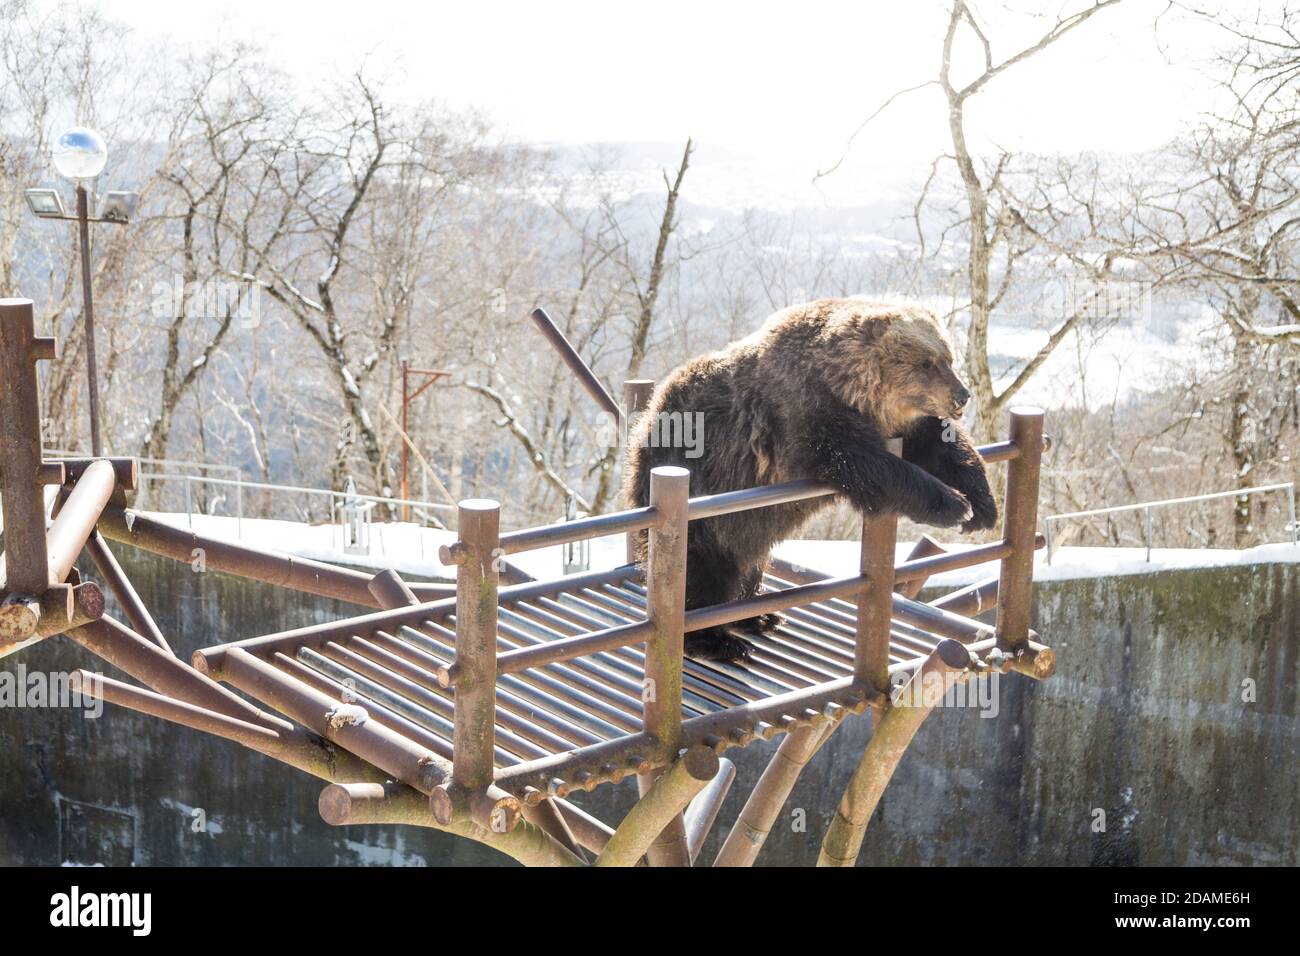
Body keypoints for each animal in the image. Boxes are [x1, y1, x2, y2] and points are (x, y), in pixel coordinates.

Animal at [623, 298, 997, 663]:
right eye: (927, 363)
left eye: (948, 357)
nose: (961, 394)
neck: (849, 388)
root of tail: (642, 428)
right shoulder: (804, 416)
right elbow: (869, 466)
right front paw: (953, 503)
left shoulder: (904, 424)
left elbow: (943, 446)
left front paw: (980, 507)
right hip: (694, 490)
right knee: (699, 567)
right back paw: (717, 639)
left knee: (750, 558)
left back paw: (759, 614)